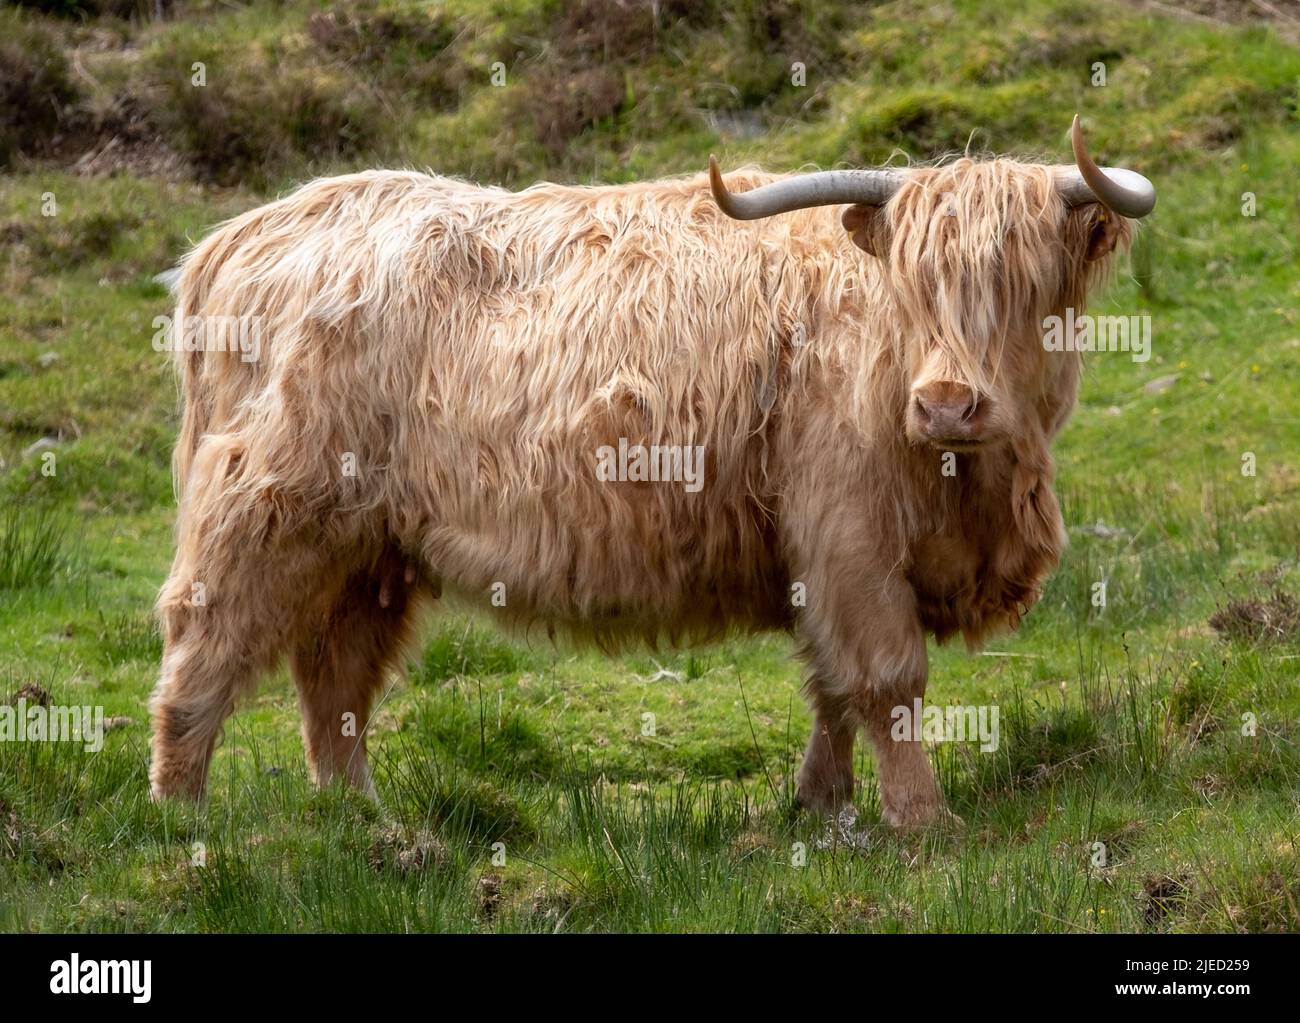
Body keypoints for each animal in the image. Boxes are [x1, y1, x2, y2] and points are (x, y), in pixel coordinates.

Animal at [149, 116, 1154, 828]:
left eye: (1027, 283)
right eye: (915, 282)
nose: (947, 402)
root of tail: (241, 237)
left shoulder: (820, 555)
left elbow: (830, 684)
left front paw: (821, 805)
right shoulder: (850, 537)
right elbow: (885, 679)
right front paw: (923, 820)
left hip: (370, 548)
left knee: (337, 679)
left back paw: (364, 821)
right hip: (266, 508)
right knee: (206, 644)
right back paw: (181, 818)